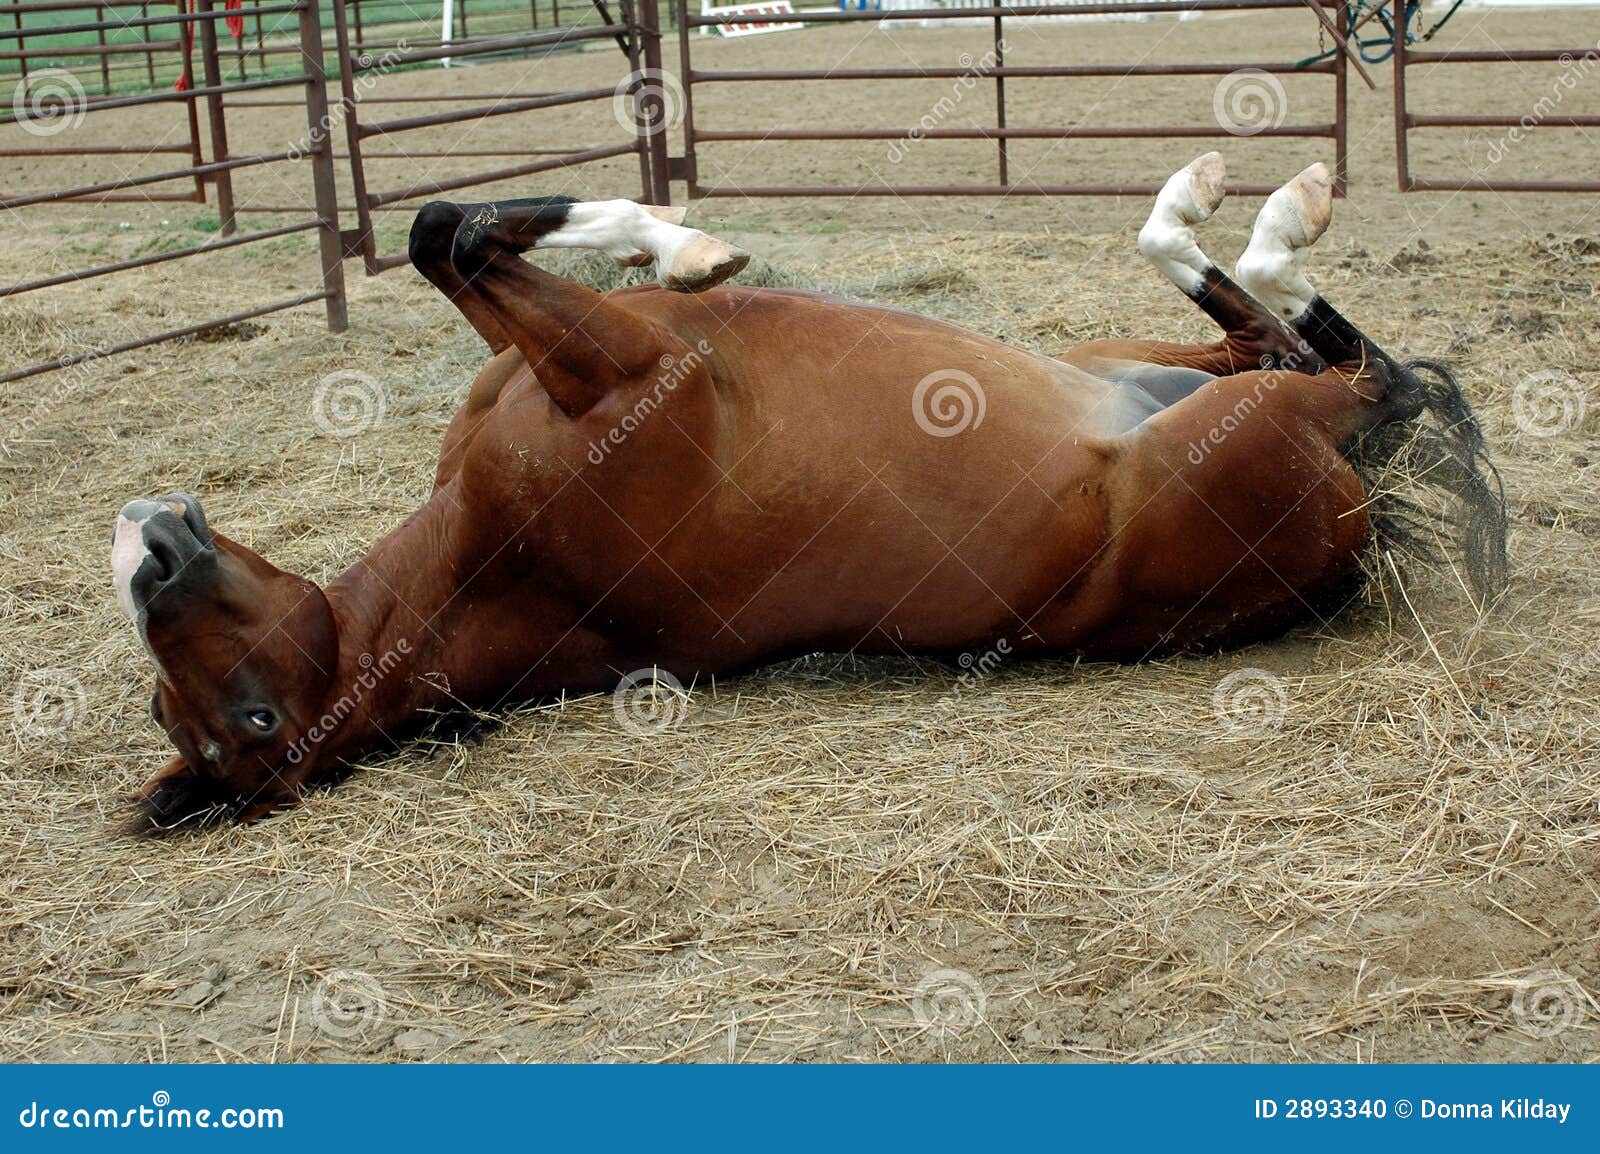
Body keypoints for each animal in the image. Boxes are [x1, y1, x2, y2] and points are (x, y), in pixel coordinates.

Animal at [111, 154, 1506, 831]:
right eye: (245, 723)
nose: (153, 551)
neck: (499, 562)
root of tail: (1355, 506)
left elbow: (438, 230)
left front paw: (674, 242)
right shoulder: (639, 365)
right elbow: (458, 237)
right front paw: (690, 247)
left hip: (1152, 364)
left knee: (1262, 322)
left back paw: (1200, 195)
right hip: (1255, 423)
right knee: (1356, 364)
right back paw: (1273, 219)